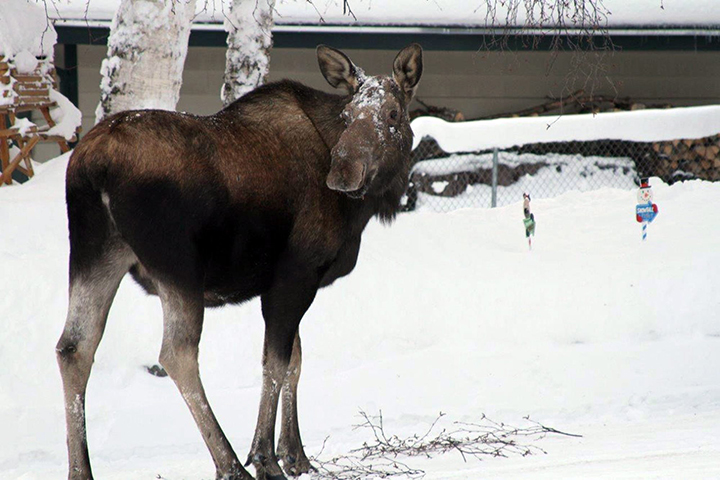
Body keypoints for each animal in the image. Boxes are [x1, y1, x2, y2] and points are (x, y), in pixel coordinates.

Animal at [56, 44, 423, 480]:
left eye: (393, 114)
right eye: (348, 116)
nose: (344, 172)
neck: (360, 211)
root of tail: (94, 166)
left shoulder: (283, 285)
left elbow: (295, 361)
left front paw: (296, 455)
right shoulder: (295, 275)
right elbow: (275, 366)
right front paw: (265, 457)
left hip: (94, 253)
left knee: (74, 347)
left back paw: (80, 470)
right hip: (177, 265)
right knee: (176, 353)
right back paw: (230, 464)